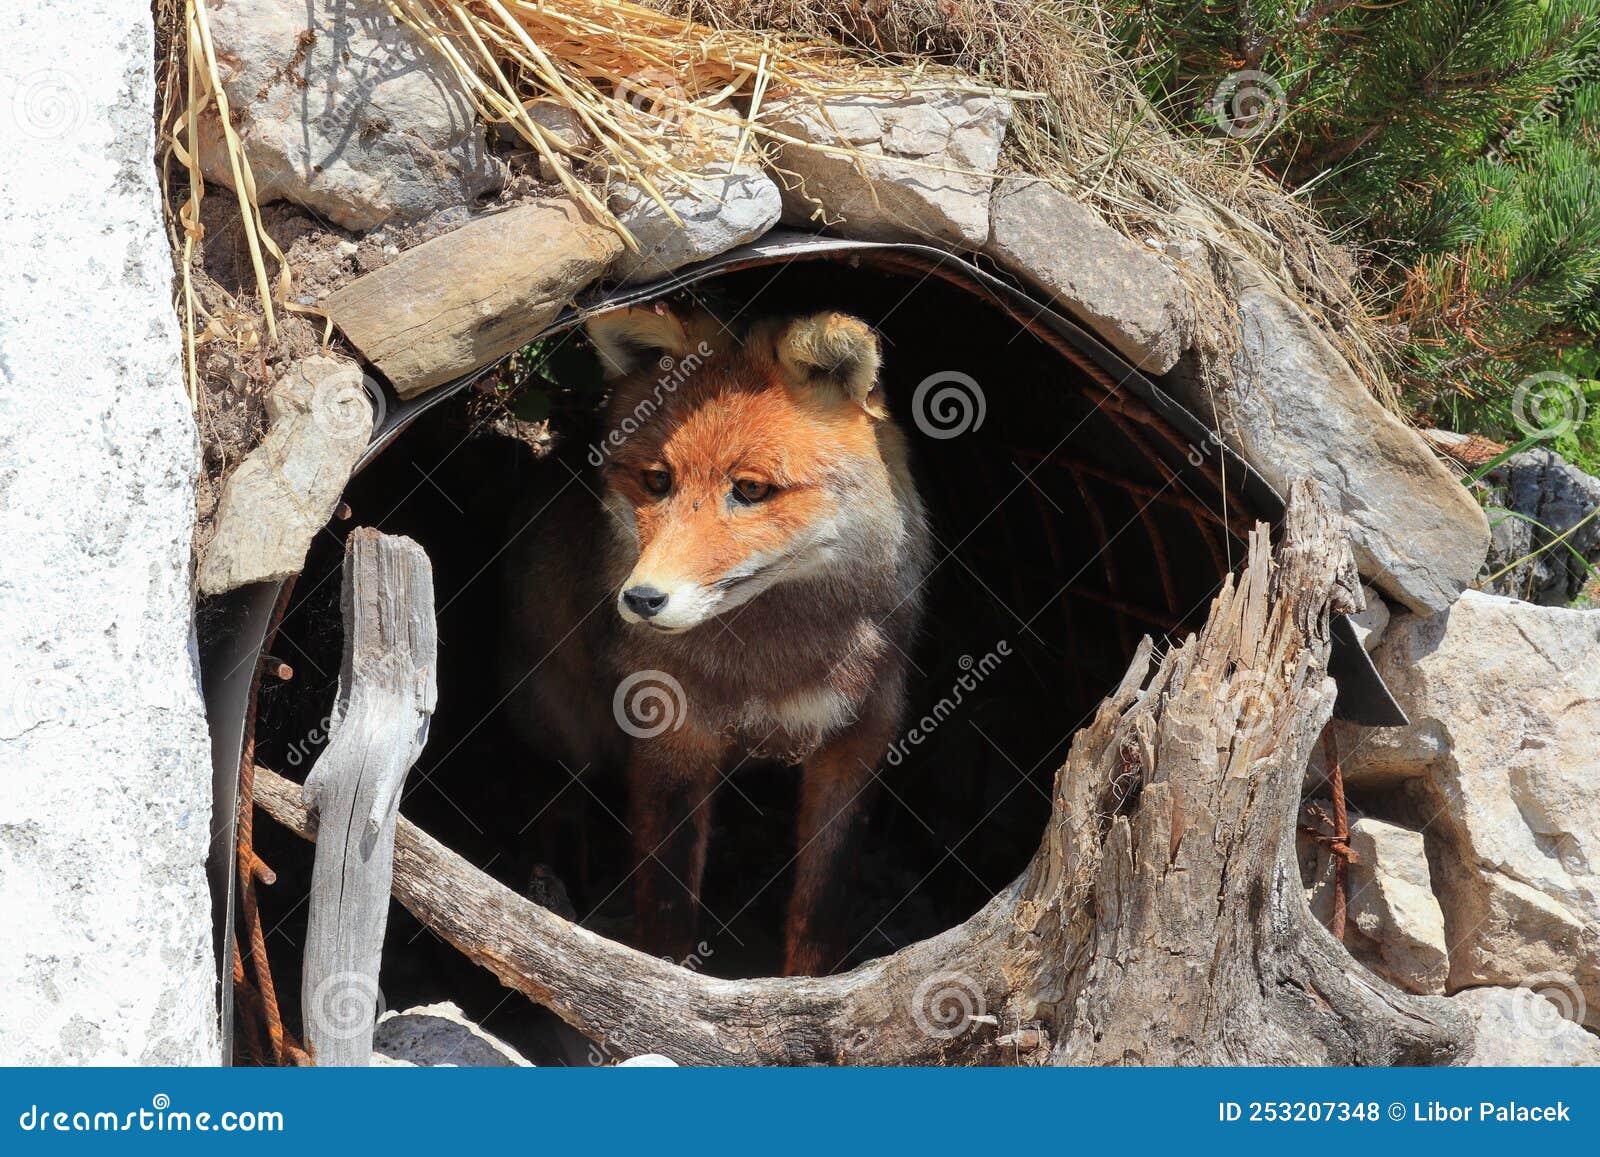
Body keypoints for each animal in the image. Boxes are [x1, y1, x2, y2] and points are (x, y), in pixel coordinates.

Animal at [502, 300, 929, 975]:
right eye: (657, 481)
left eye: (751, 489)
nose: (642, 599)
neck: (772, 670)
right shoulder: (673, 743)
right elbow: (669, 907)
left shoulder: (860, 737)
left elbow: (820, 909)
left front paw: (804, 990)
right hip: (562, 736)